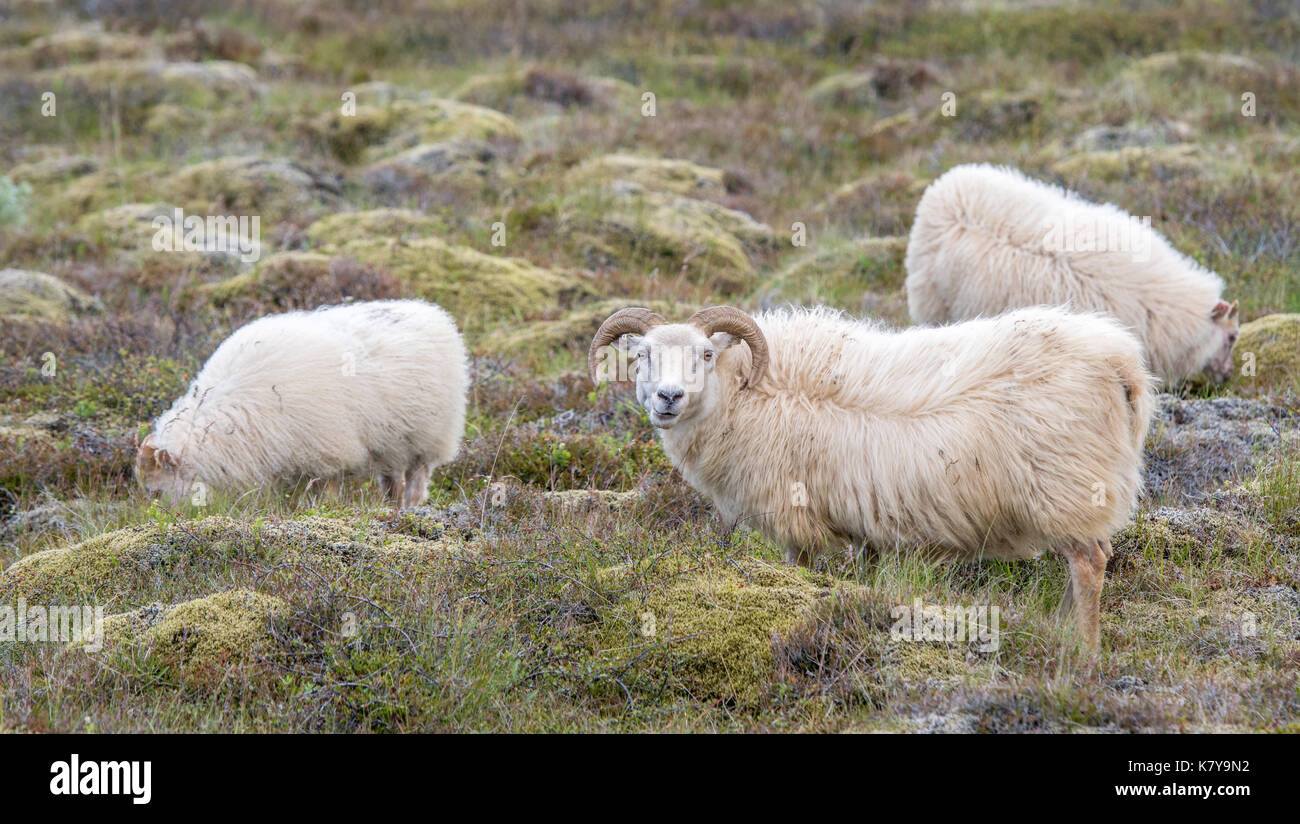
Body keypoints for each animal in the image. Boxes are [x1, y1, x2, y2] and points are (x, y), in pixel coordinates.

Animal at [136, 299, 468, 508]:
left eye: (156, 491)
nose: (162, 518)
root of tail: (432, 313)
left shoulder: (327, 451)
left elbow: (326, 492)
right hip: (391, 442)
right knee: (392, 480)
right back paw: (392, 506)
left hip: (429, 437)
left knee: (417, 479)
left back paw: (411, 508)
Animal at [589, 304, 1155, 648]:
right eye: (642, 355)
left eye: (705, 354)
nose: (669, 397)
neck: (747, 392)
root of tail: (1122, 364)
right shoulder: (859, 520)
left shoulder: (796, 517)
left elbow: (798, 572)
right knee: (1089, 557)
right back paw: (1061, 630)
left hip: (1068, 482)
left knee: (1089, 563)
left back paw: (1083, 651)